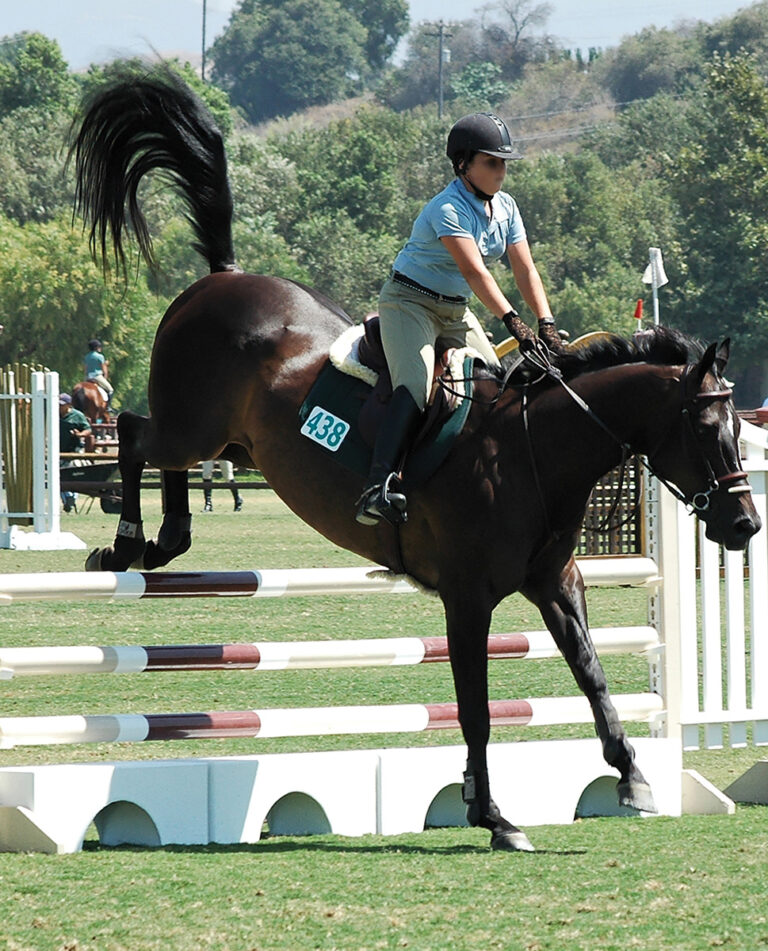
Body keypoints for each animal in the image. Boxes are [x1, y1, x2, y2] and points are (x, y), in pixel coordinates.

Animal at [70, 70, 761, 851]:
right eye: (704, 427)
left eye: (738, 426)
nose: (744, 525)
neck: (533, 450)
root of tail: (223, 277)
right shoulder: (467, 597)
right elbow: (477, 708)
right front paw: (494, 816)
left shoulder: (555, 581)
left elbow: (592, 675)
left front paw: (633, 777)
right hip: (191, 426)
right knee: (133, 435)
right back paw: (123, 545)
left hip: (225, 443)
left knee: (171, 474)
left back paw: (161, 544)